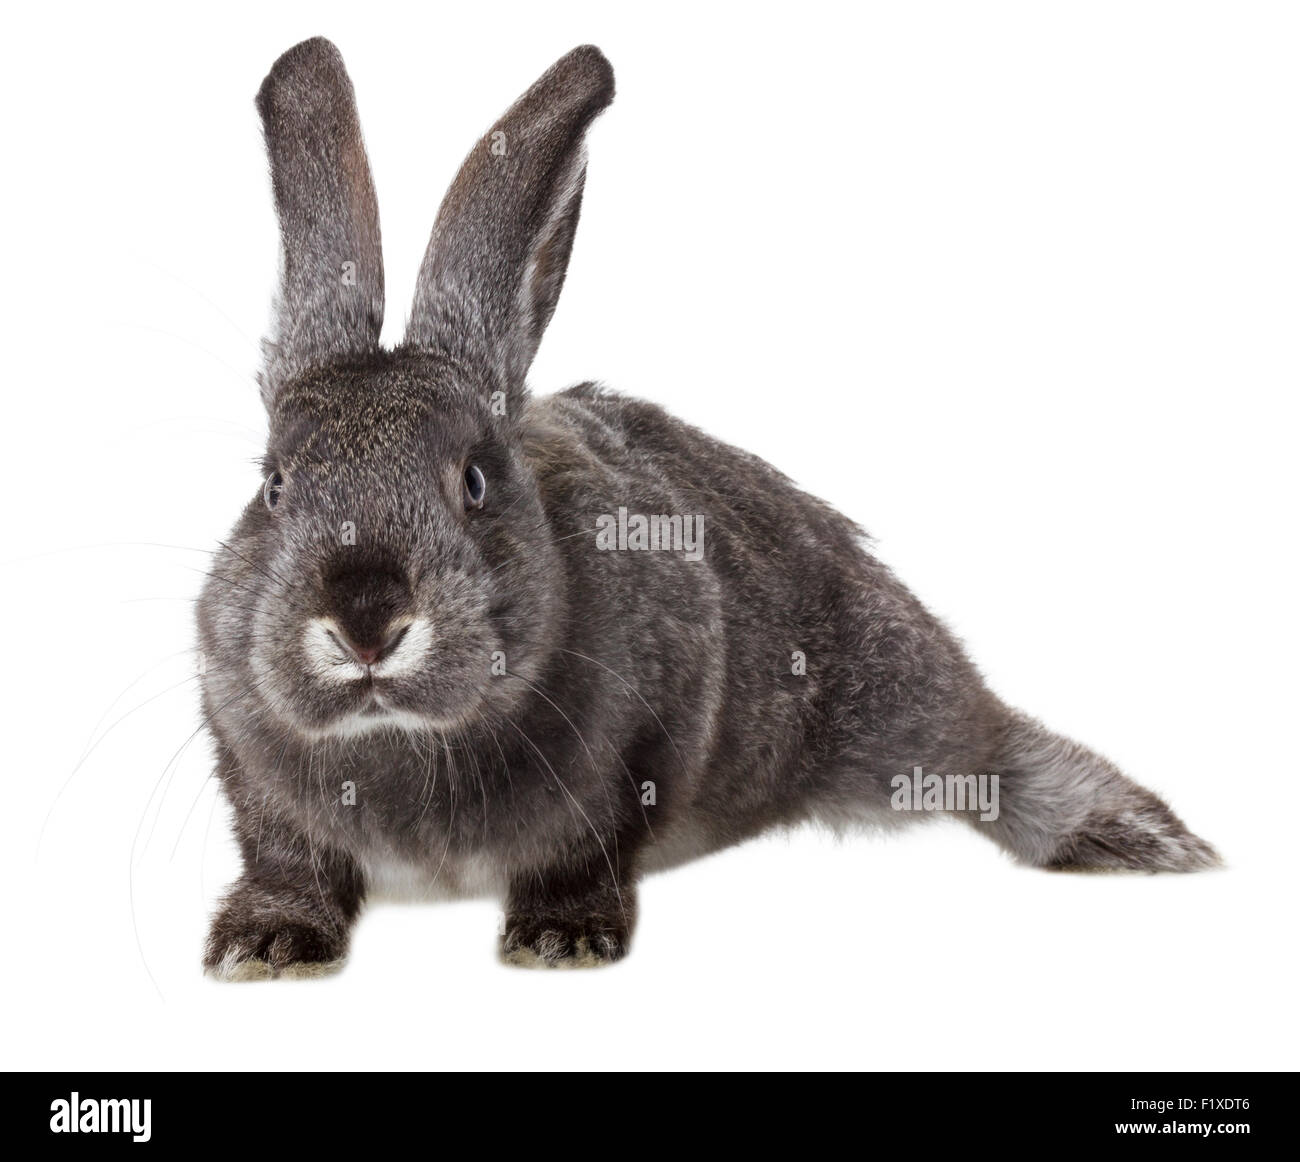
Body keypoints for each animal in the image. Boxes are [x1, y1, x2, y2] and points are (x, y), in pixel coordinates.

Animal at [198, 37, 1218, 980]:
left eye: (476, 481)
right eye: (275, 484)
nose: (368, 625)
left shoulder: (646, 744)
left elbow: (587, 854)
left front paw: (561, 939)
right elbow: (288, 864)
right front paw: (264, 944)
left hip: (894, 705)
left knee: (990, 749)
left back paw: (1142, 837)